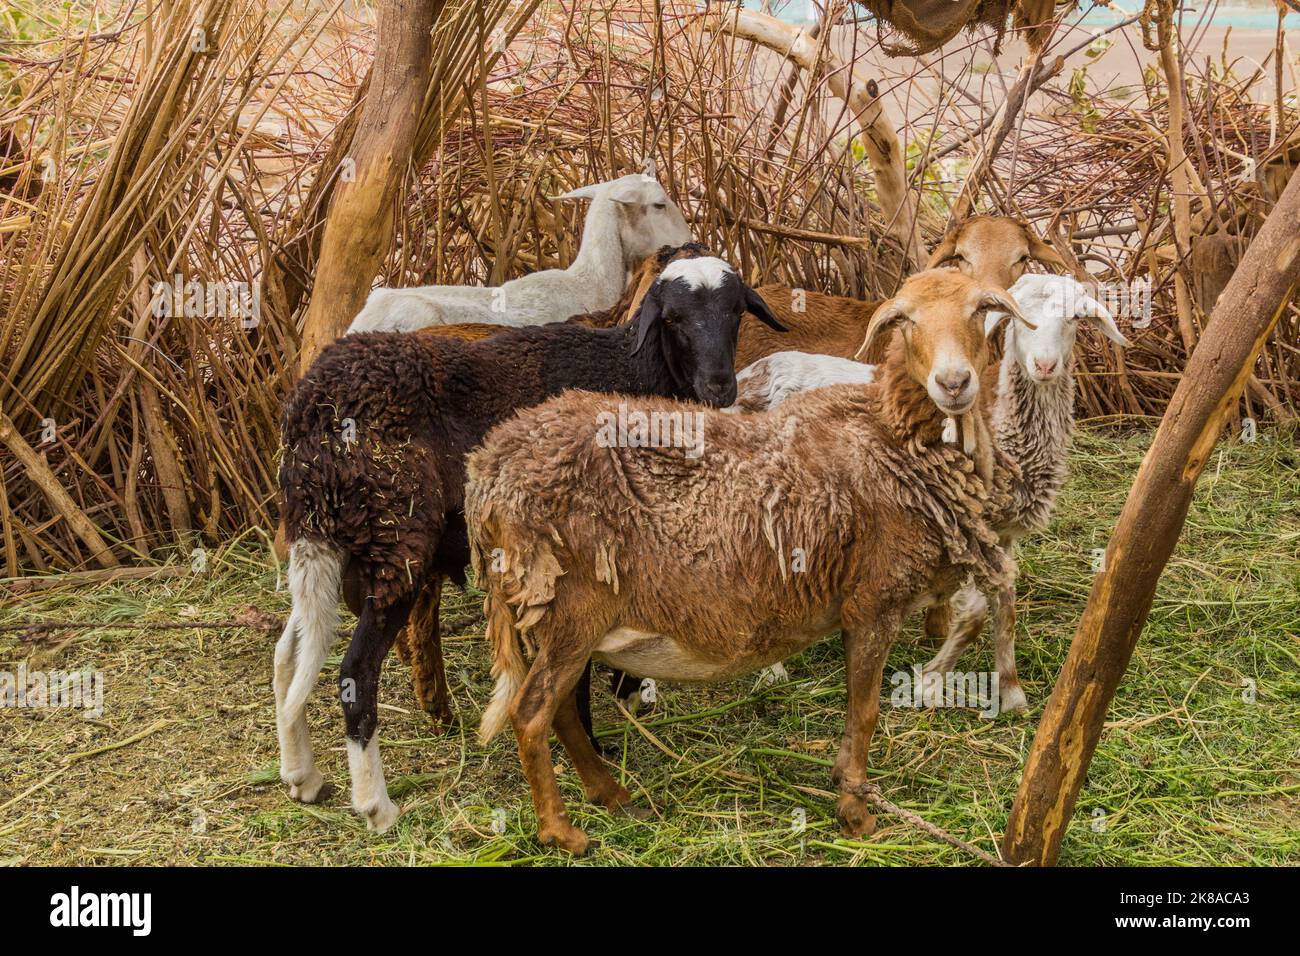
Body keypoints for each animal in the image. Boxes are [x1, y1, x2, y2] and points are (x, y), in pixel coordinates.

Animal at [273, 256, 786, 831]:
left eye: (735, 312)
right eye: (673, 318)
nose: (720, 386)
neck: (633, 372)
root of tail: (312, 408)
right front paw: (594, 749)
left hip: (323, 539)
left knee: (289, 655)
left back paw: (302, 777)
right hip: (396, 544)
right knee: (354, 672)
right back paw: (376, 806)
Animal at [464, 269, 1032, 854]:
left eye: (978, 311)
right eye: (907, 321)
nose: (954, 382)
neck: (893, 437)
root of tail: (490, 468)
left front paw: (845, 789)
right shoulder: (873, 601)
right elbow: (866, 712)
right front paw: (856, 813)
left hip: (558, 618)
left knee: (560, 713)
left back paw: (611, 794)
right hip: (569, 609)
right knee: (532, 714)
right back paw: (563, 830)